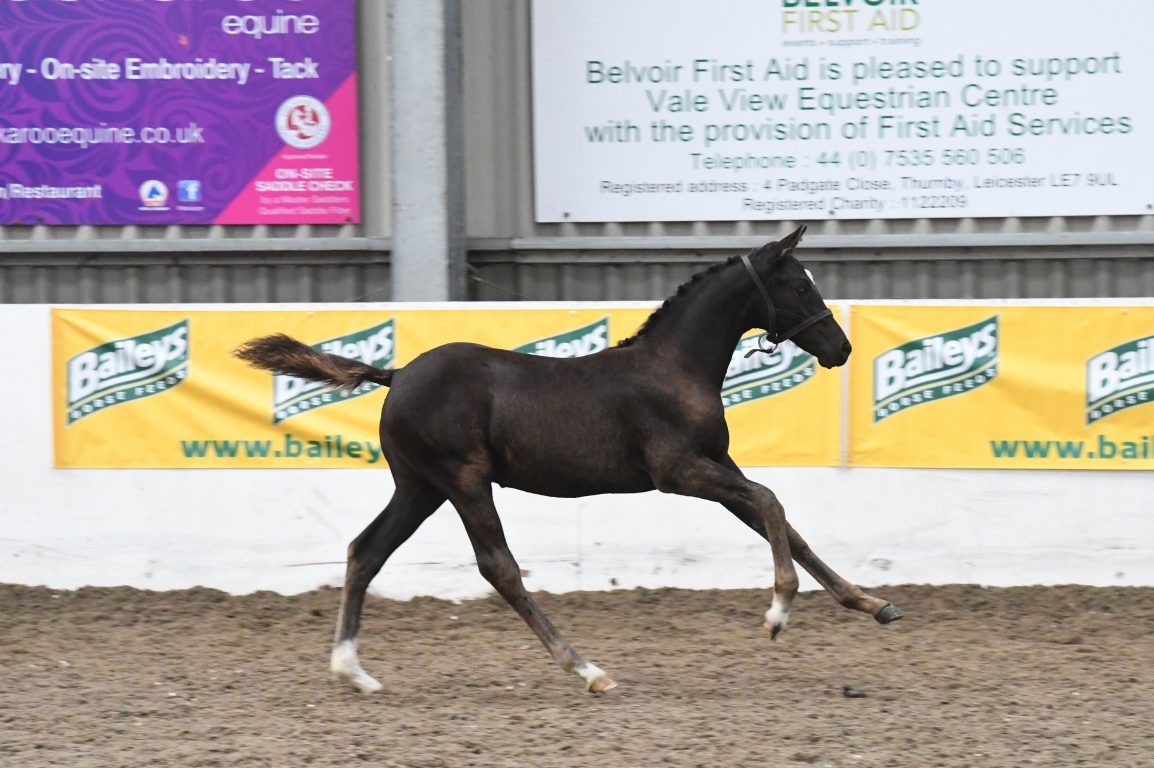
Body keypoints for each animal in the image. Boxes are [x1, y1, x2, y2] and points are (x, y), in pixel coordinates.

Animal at [235, 225, 903, 695]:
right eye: (799, 285)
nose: (840, 348)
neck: (675, 367)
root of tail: (396, 374)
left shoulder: (718, 466)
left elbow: (782, 522)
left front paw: (874, 605)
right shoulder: (679, 472)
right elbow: (772, 502)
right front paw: (778, 612)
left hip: (419, 486)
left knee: (366, 550)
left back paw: (353, 671)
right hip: (464, 480)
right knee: (498, 567)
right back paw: (587, 670)